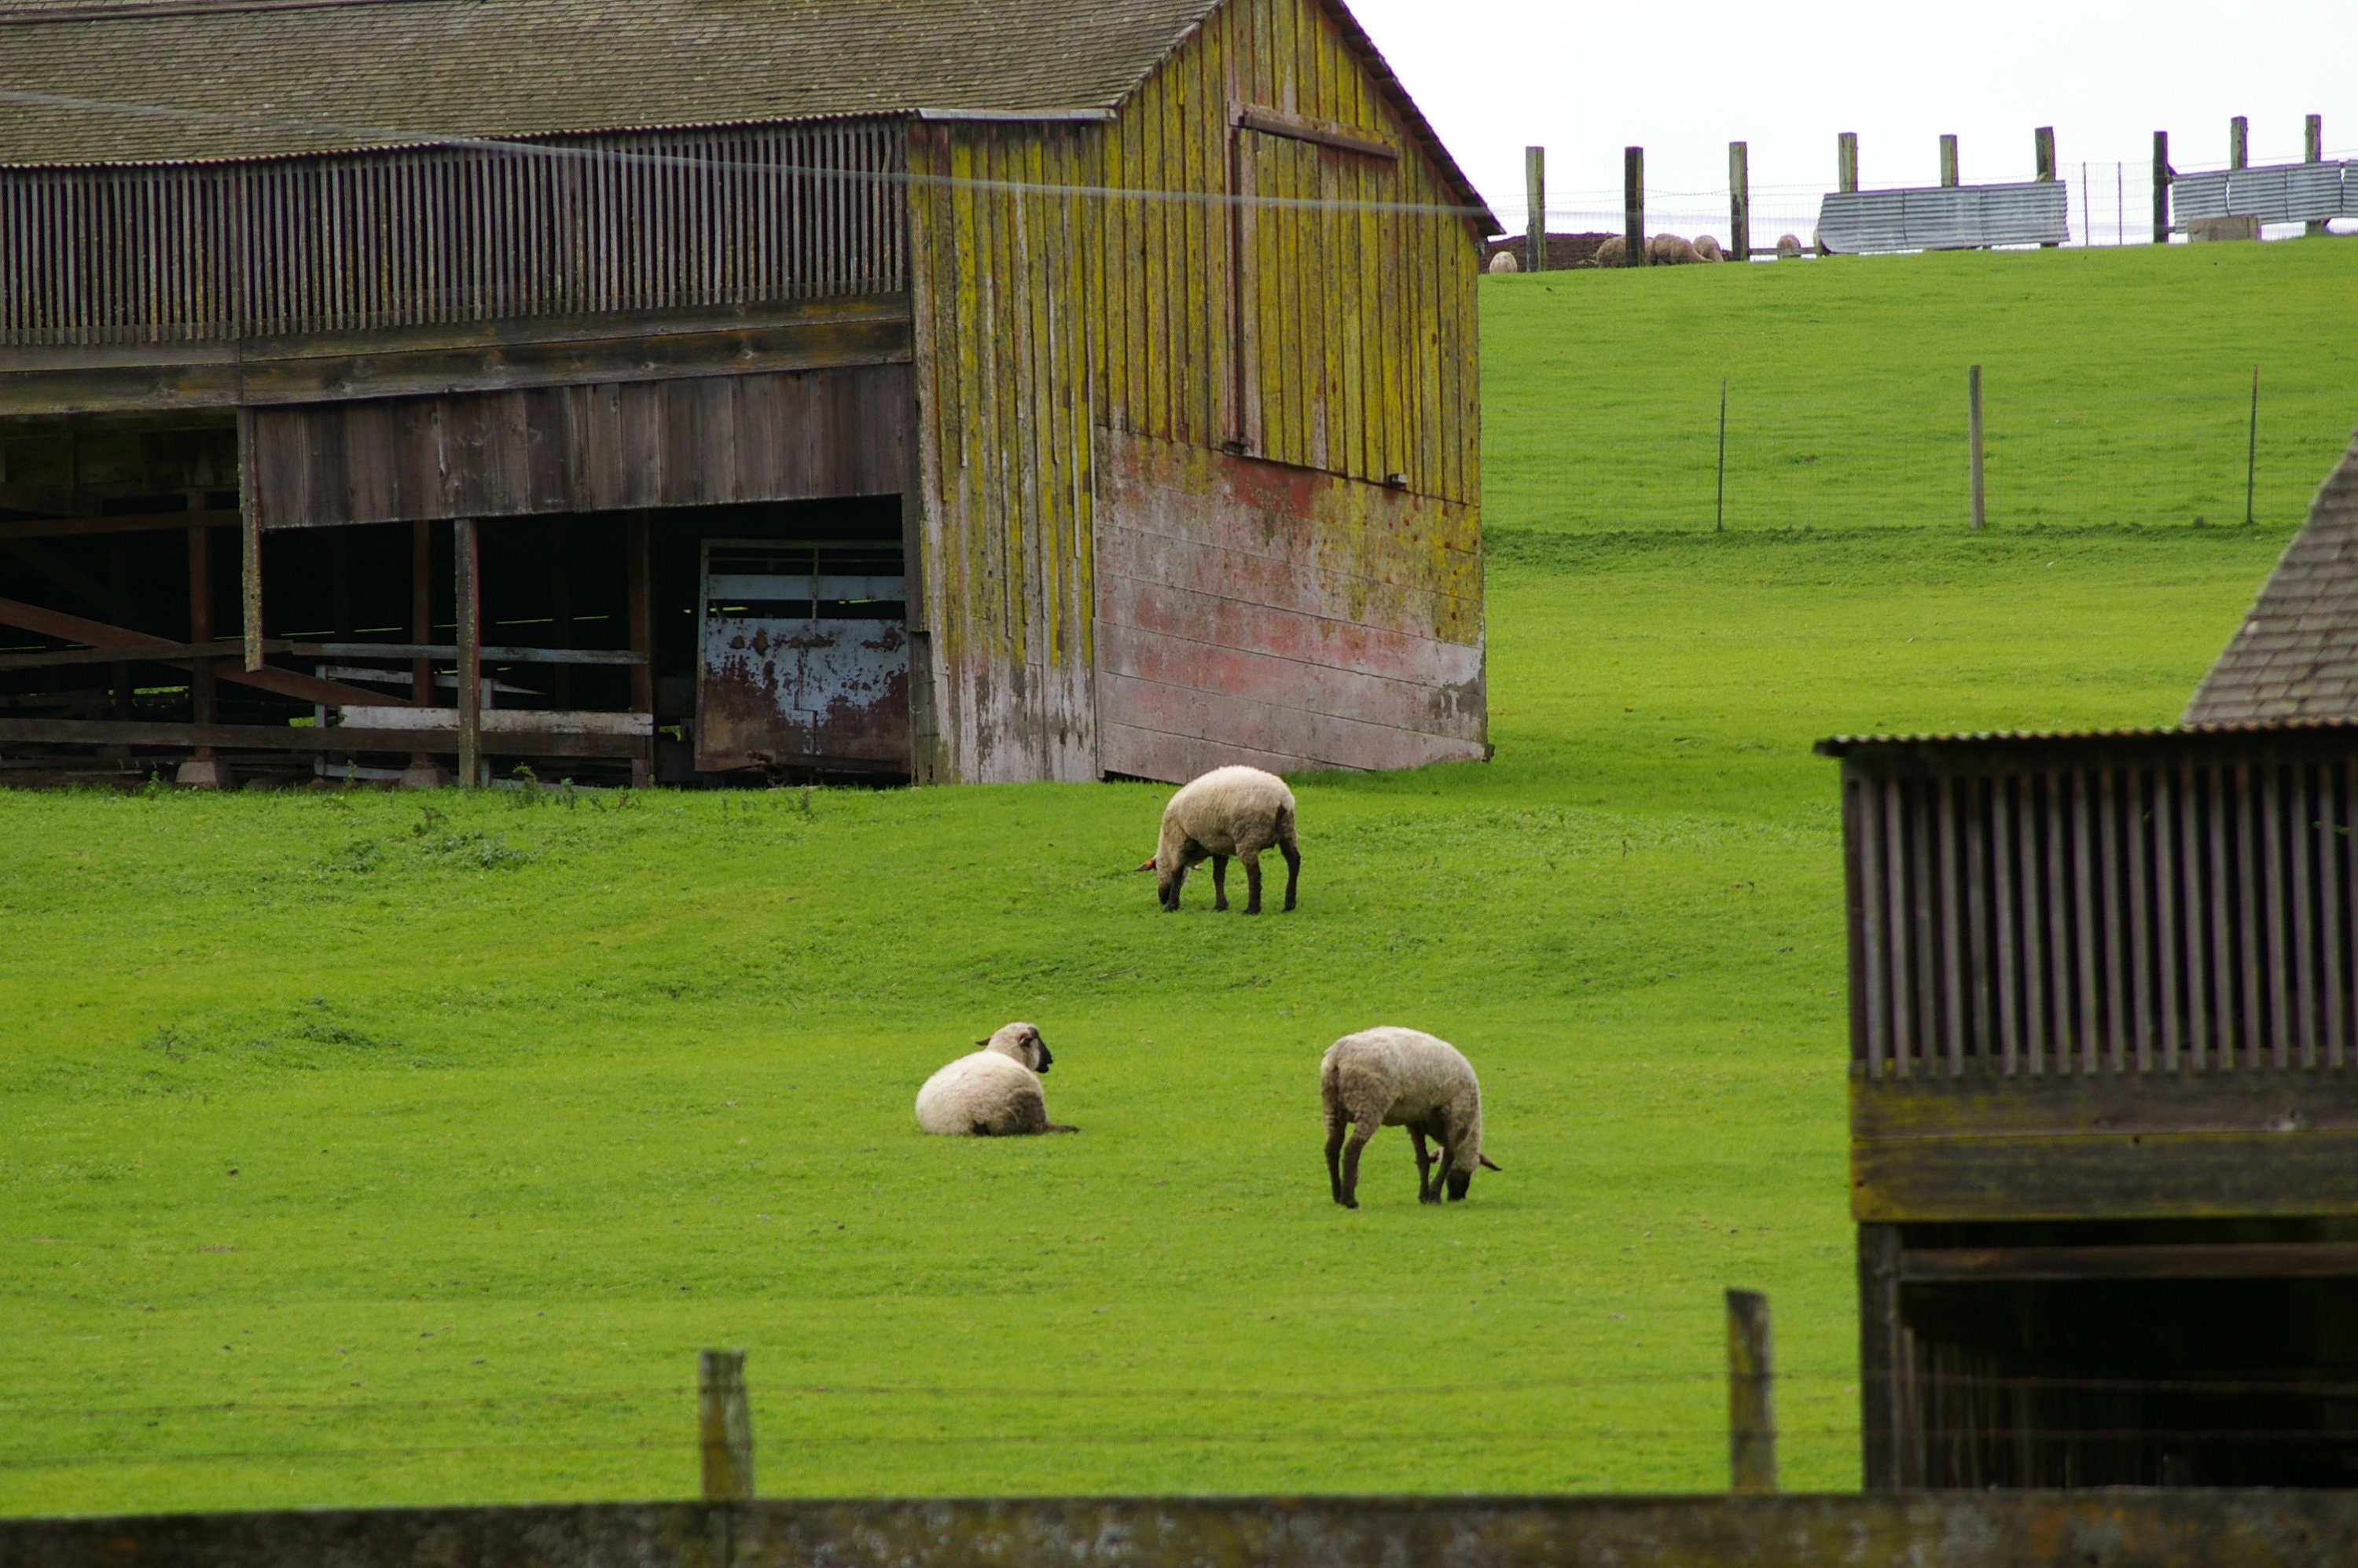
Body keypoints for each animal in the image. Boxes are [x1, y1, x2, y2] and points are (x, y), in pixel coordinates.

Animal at [1136, 764, 1300, 914]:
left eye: (1155, 872)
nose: (1162, 898)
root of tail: (1281, 798)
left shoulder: (1179, 843)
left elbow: (1176, 873)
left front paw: (1171, 906)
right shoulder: (1218, 846)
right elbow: (1218, 876)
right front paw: (1220, 905)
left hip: (1248, 834)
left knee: (1254, 872)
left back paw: (1252, 909)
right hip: (1287, 830)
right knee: (1294, 861)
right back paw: (1289, 903)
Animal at [1320, 1027, 1500, 1208]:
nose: (1457, 1197)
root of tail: (1337, 1056)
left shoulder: (1415, 1121)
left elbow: (1423, 1159)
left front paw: (1424, 1196)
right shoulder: (1458, 1119)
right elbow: (1449, 1157)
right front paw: (1434, 1196)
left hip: (1332, 1106)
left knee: (1332, 1148)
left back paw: (1337, 1196)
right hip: (1369, 1103)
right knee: (1352, 1149)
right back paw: (1349, 1200)